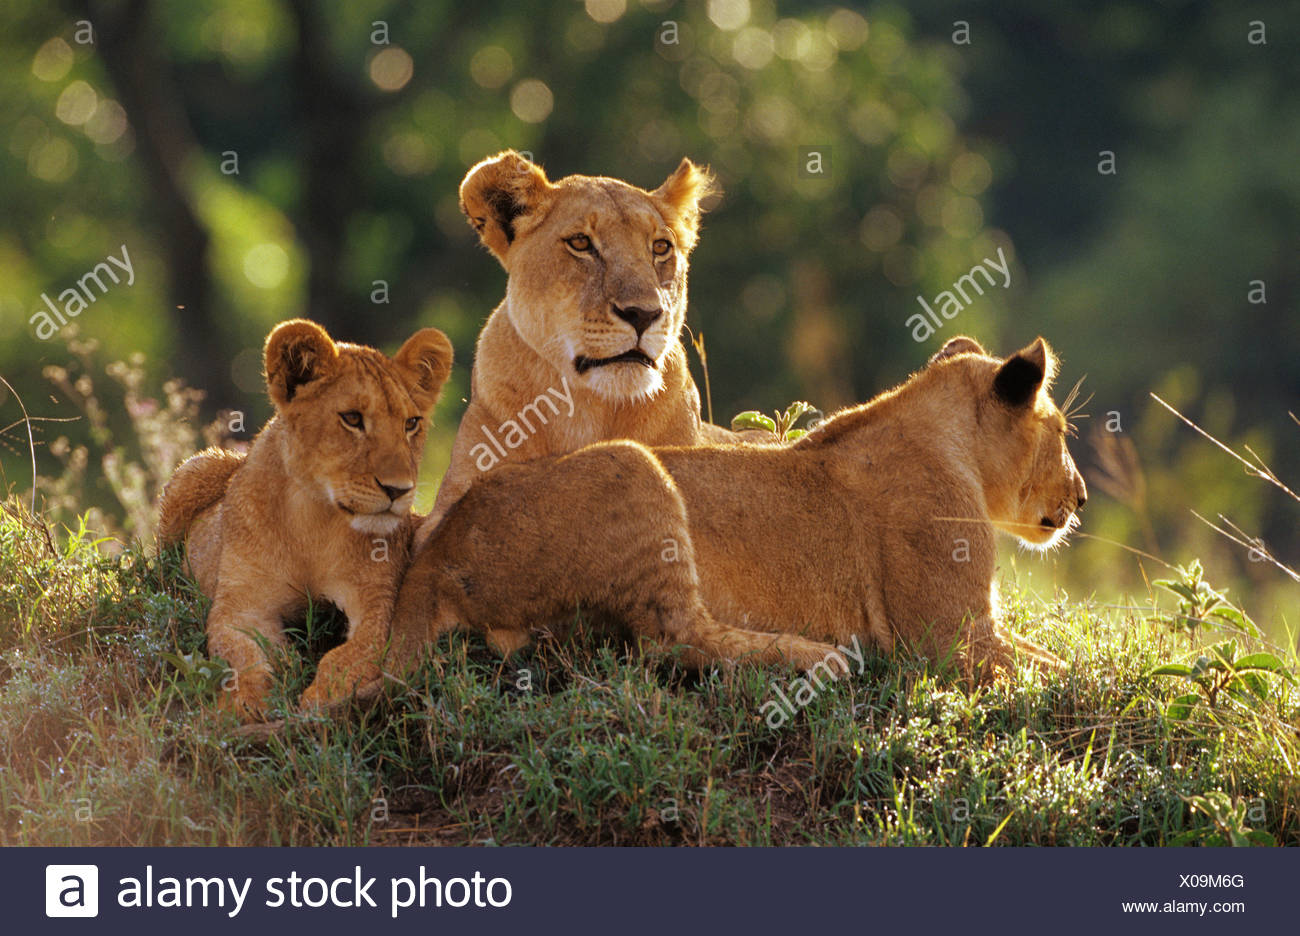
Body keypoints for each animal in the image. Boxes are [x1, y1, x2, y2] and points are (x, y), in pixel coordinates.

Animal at [157, 318, 453, 721]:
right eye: (352, 419)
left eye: (411, 424)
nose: (399, 490)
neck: (315, 519)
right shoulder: (240, 605)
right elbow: (241, 654)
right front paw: (244, 701)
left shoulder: (379, 598)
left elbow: (354, 652)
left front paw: (325, 697)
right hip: (196, 467)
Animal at [379, 335, 1084, 690]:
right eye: (1060, 431)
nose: (1080, 498)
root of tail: (436, 551)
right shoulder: (947, 644)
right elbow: (1059, 671)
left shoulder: (977, 632)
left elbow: (1050, 655)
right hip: (636, 467)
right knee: (674, 640)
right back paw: (817, 658)